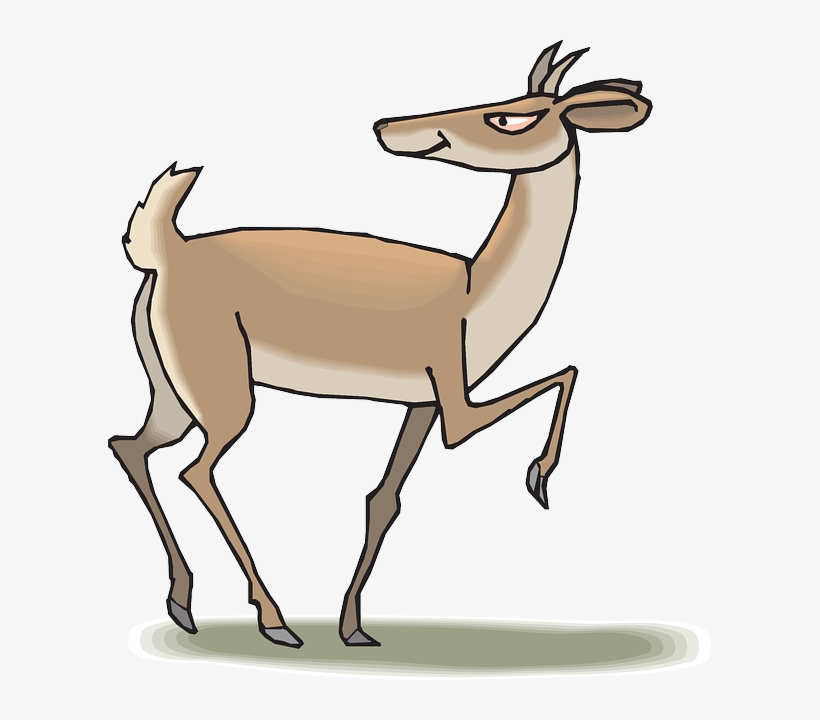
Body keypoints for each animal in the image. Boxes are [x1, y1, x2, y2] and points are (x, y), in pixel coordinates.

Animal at [109, 42, 651, 649]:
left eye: (510, 116)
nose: (388, 126)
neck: (476, 294)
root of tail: (165, 249)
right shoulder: (456, 404)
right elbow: (565, 372)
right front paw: (538, 479)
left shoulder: (422, 403)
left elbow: (383, 499)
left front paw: (353, 628)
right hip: (226, 395)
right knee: (195, 471)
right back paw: (275, 622)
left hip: (174, 393)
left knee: (130, 446)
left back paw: (184, 604)